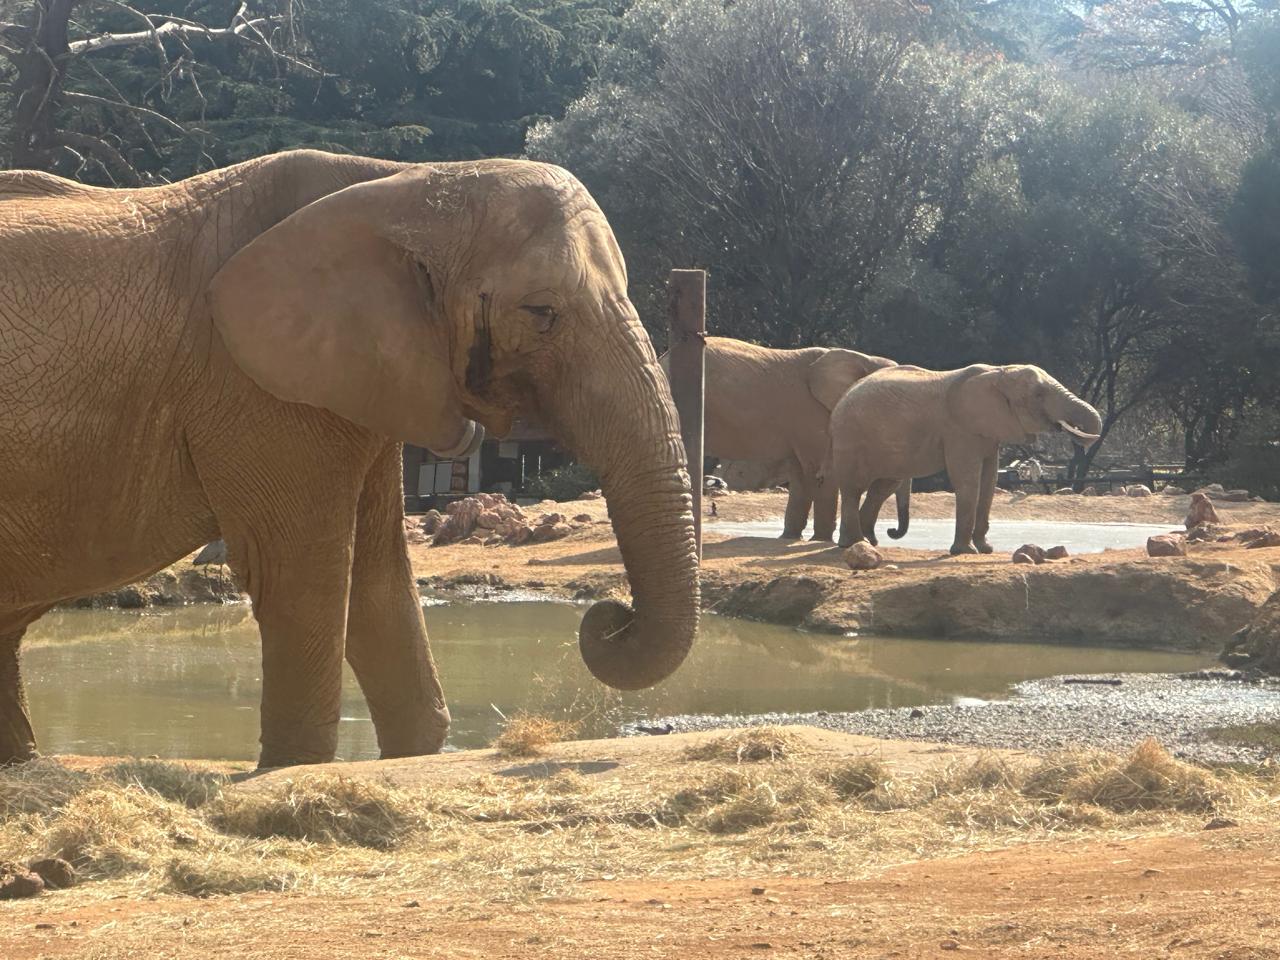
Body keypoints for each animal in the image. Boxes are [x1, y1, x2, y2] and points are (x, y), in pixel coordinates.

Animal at [0, 150, 699, 767]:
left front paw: (410, 754)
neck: (405, 184)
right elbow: (300, 570)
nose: (607, 618)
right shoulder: (257, 384)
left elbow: (377, 572)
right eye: (541, 312)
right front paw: (293, 768)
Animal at [661, 336, 907, 540]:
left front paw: (790, 538)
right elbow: (823, 473)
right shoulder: (814, 414)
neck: (864, 358)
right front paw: (821, 540)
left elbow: (801, 476)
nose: (889, 532)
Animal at [826, 364, 1102, 555]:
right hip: (850, 436)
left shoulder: (988, 432)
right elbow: (969, 481)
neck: (998, 372)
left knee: (881, 487)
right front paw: (965, 551)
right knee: (854, 487)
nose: (1084, 439)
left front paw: (985, 549)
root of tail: (843, 397)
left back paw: (866, 543)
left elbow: (989, 481)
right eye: (1038, 394)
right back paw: (856, 543)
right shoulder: (960, 430)